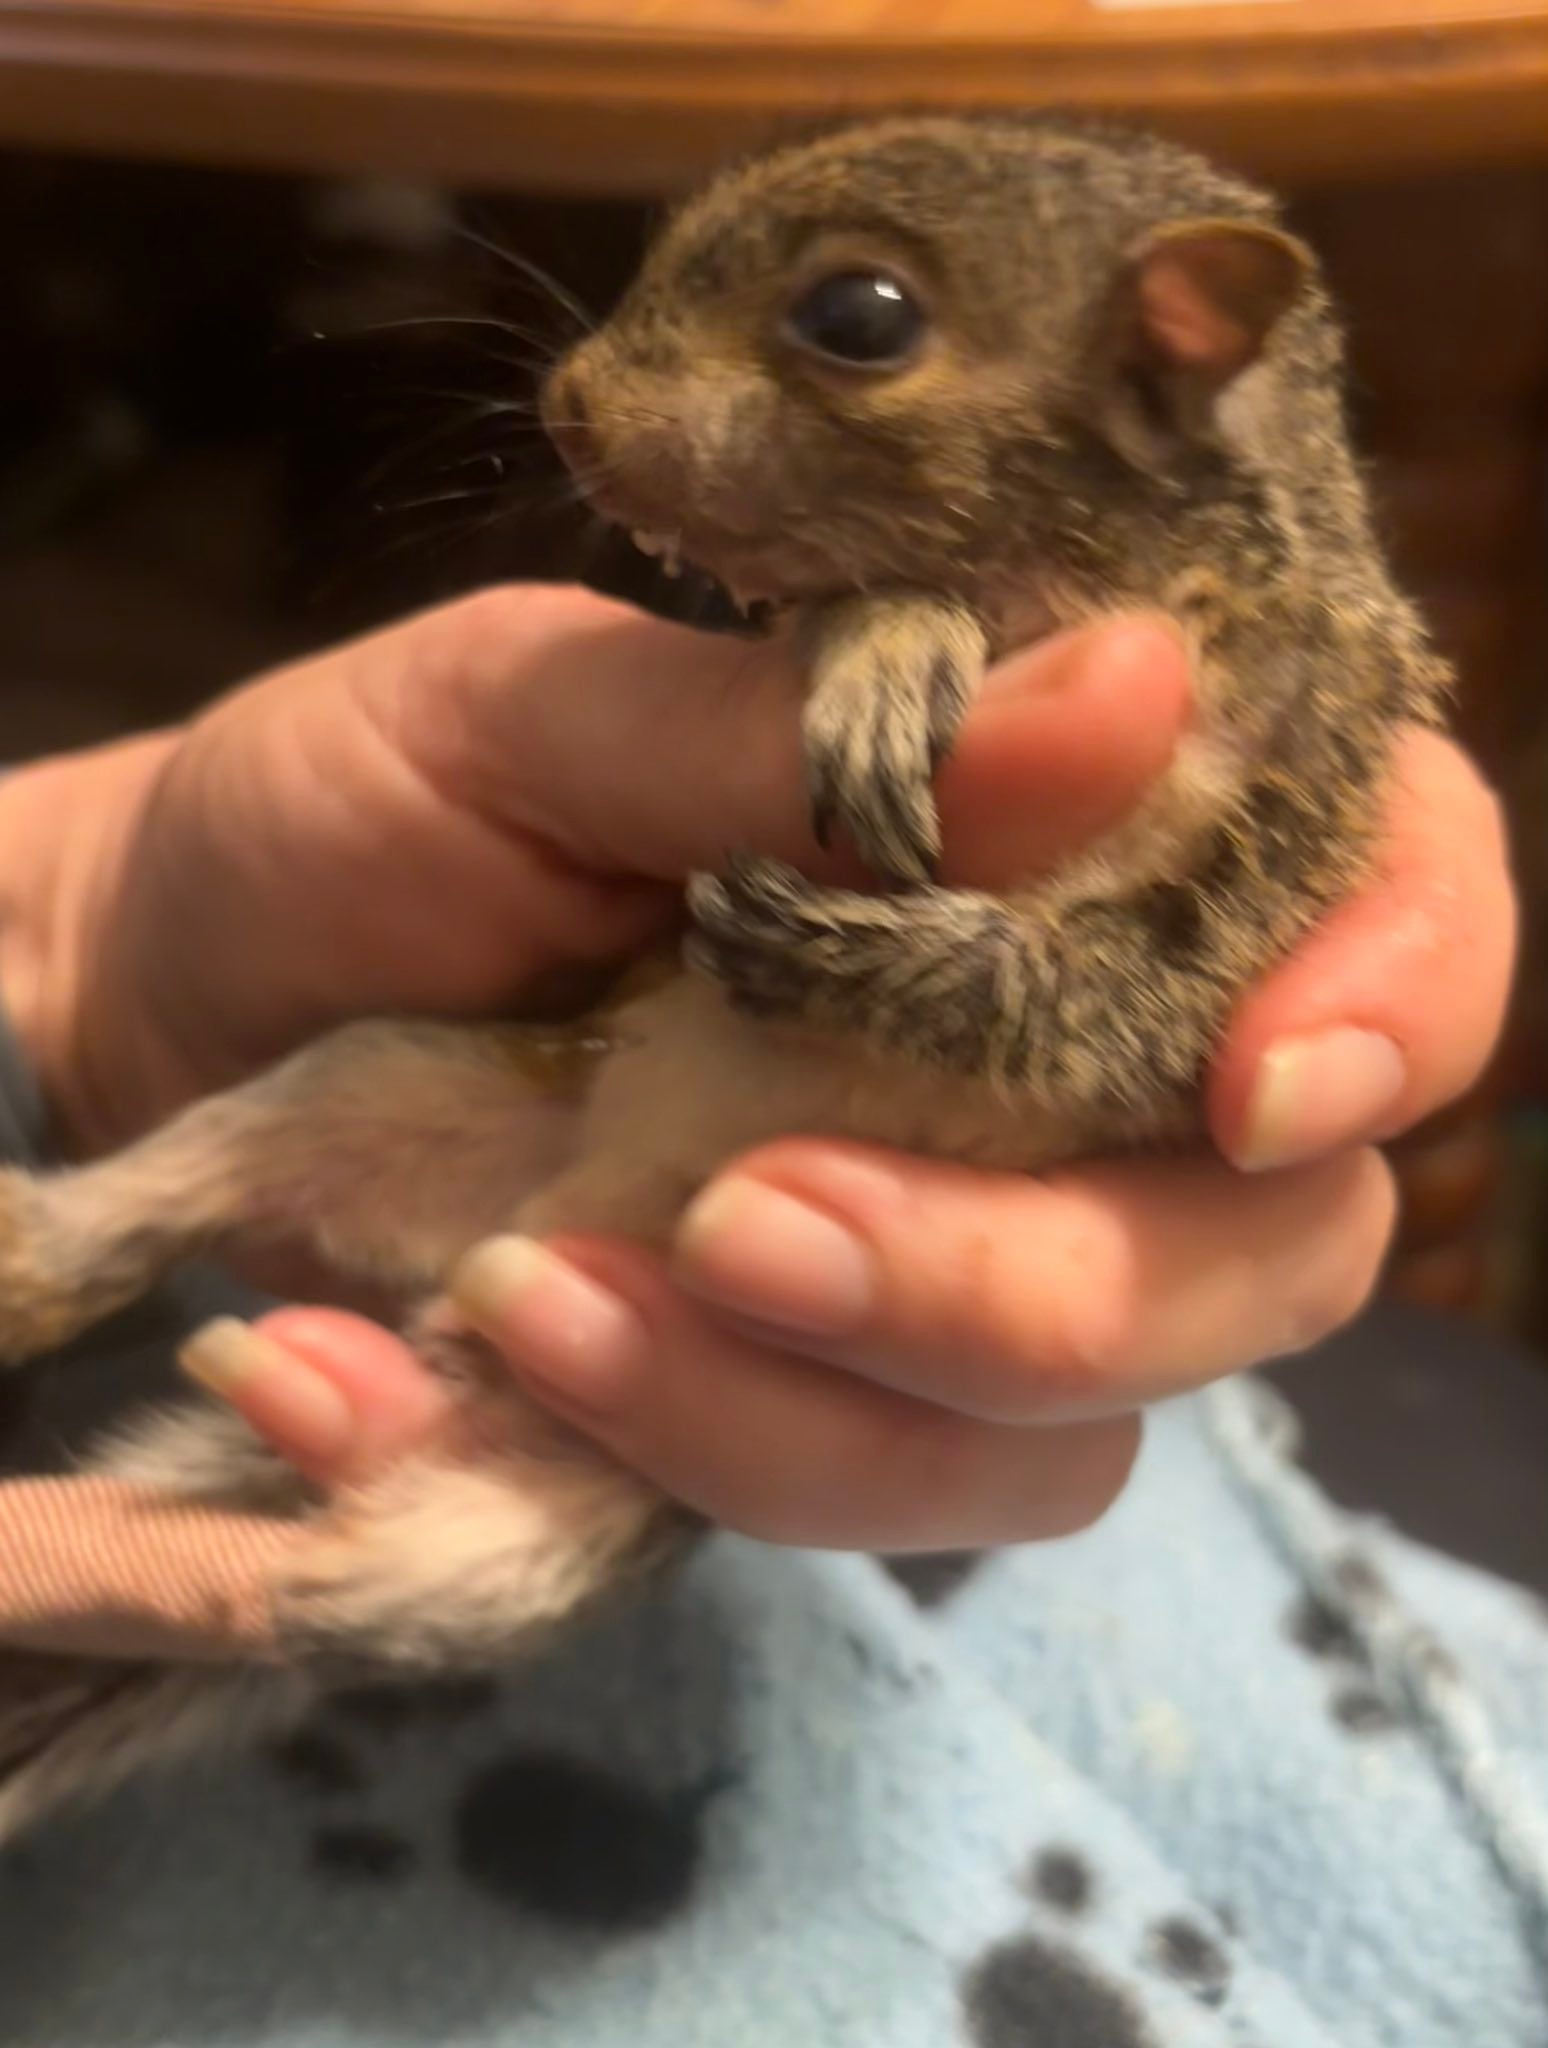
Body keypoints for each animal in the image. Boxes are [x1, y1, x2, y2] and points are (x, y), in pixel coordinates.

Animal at [0, 113, 1448, 1838]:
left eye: (862, 317)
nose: (566, 405)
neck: (1108, 573)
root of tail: (492, 1271)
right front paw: (891, 645)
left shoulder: (1270, 865)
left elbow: (1102, 1010)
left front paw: (860, 950)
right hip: (388, 1079)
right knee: (168, 1193)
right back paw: (35, 1265)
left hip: (601, 1486)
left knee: (424, 1578)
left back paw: (356, 1575)